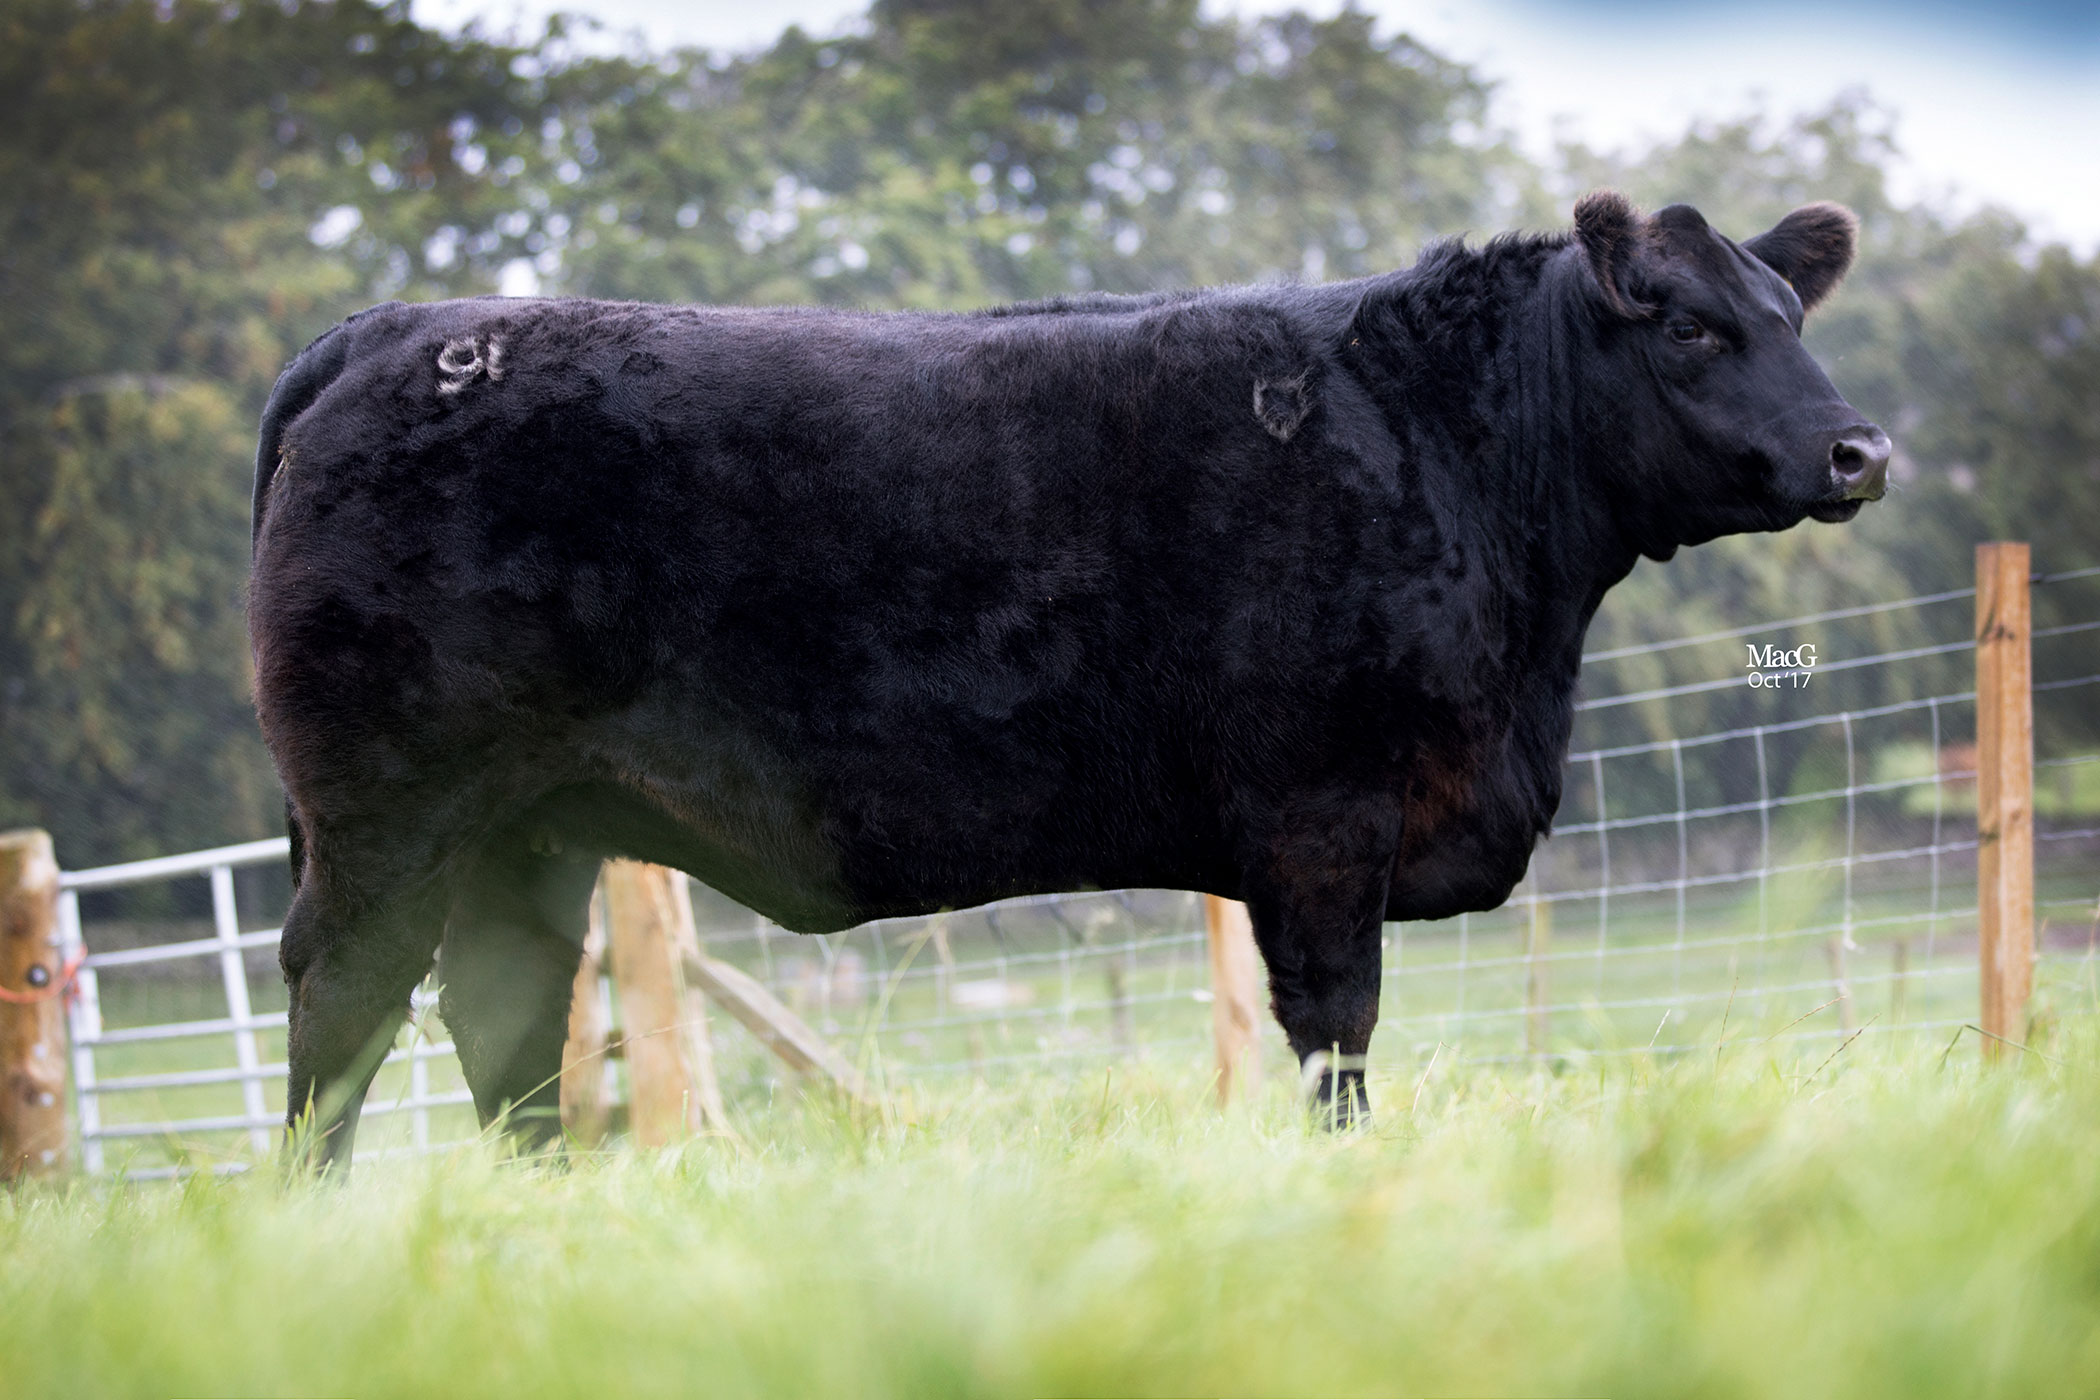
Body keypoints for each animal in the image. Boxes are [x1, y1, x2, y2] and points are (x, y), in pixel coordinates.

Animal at [249, 192, 1888, 1166]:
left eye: (1794, 315)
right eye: (1690, 324)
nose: (1860, 447)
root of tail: (398, 326)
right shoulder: (1319, 818)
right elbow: (1334, 1033)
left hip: (529, 823)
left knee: (505, 1014)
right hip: (392, 806)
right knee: (348, 1000)